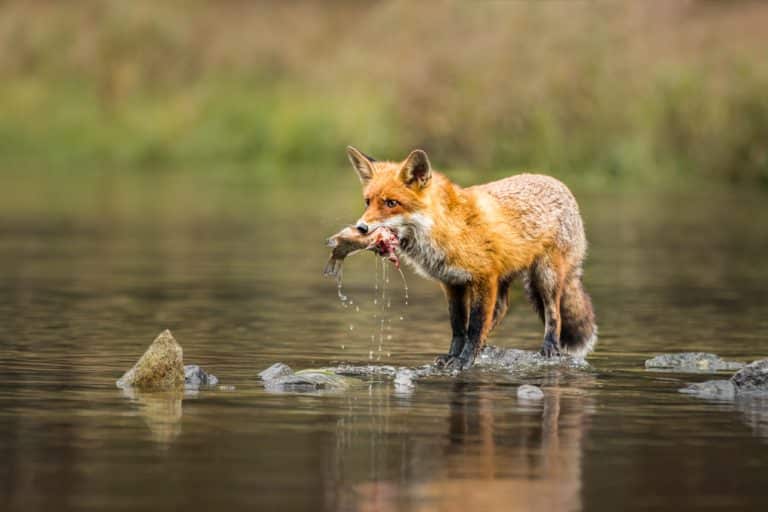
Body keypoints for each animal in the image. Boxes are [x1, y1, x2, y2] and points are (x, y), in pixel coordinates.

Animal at [346, 146, 597, 370]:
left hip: (546, 276)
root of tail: (559, 183)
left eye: (391, 203)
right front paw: (452, 356)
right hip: (506, 278)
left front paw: (464, 361)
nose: (361, 227)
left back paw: (550, 348)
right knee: (502, 309)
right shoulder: (452, 282)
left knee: (554, 313)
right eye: (368, 202)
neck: (448, 228)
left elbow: (474, 327)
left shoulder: (483, 279)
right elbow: (459, 327)